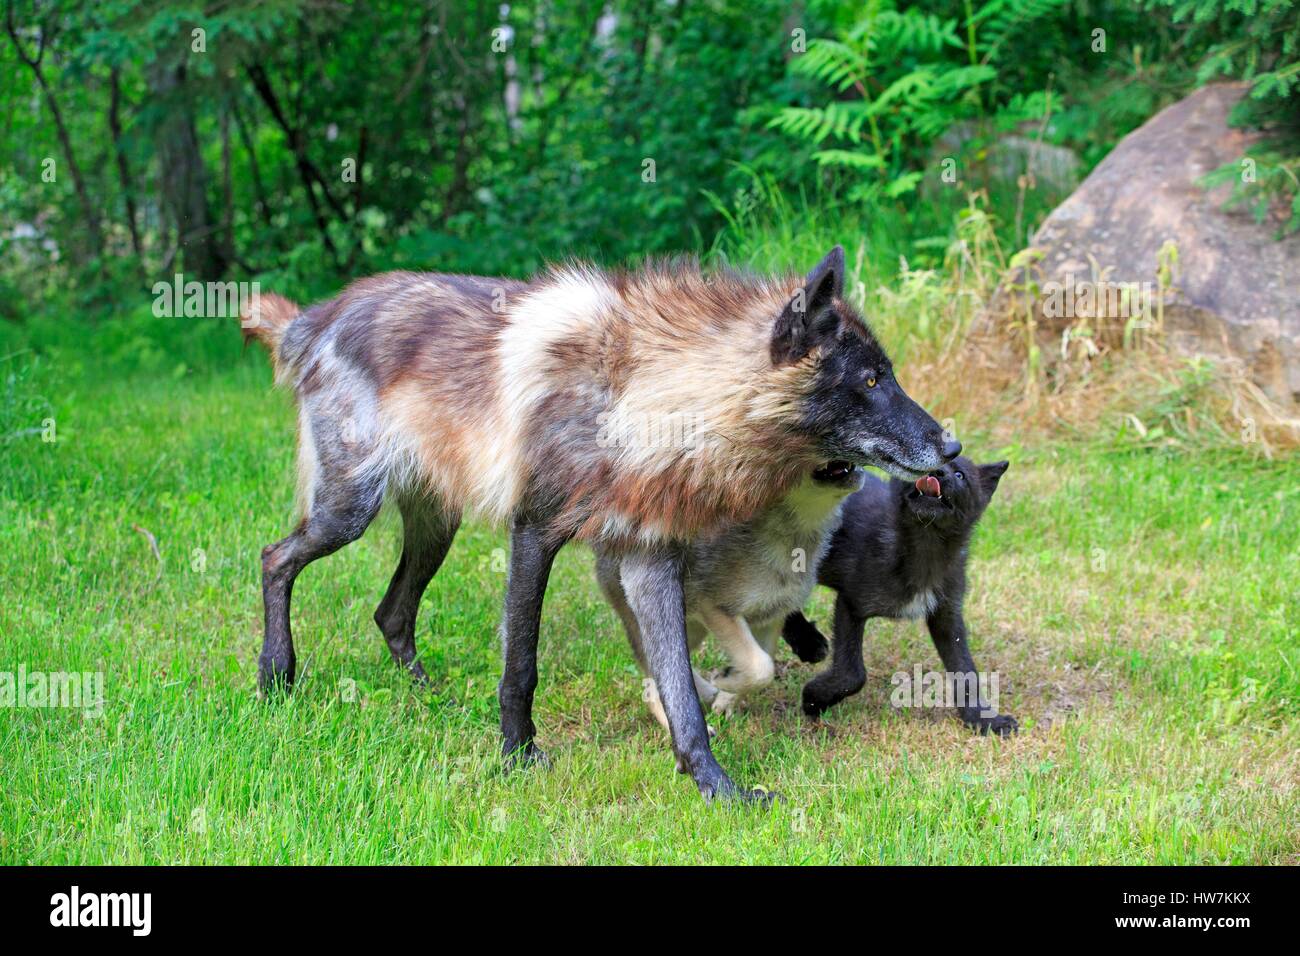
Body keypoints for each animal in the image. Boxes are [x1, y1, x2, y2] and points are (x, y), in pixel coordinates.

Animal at [239, 246, 959, 800]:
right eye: (871, 380)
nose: (951, 448)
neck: (643, 397)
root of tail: (317, 316)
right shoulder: (536, 532)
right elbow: (521, 666)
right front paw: (517, 757)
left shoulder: (649, 557)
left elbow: (684, 691)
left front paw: (715, 786)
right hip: (349, 512)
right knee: (275, 558)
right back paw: (277, 676)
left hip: (435, 529)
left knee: (391, 611)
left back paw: (428, 699)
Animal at [782, 456, 1017, 734]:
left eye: (960, 475)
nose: (937, 472)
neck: (925, 546)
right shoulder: (852, 604)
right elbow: (853, 673)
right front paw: (814, 698)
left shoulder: (947, 619)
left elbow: (965, 672)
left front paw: (984, 720)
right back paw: (807, 641)